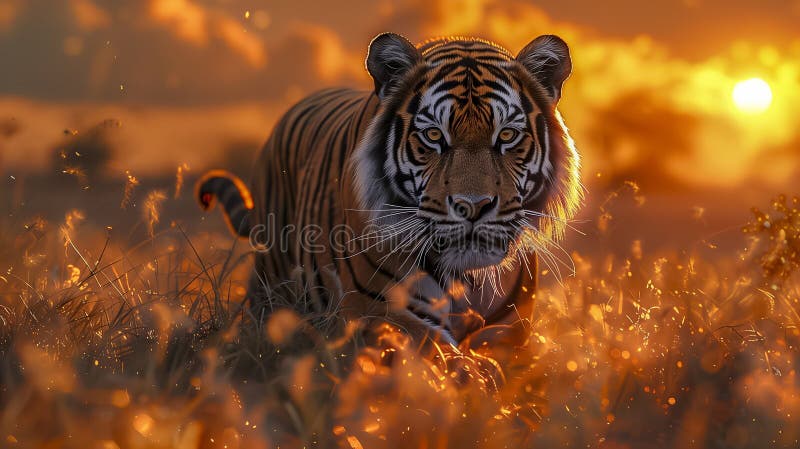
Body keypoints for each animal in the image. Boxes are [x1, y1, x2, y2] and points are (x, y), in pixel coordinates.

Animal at [197, 33, 581, 349]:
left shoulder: (510, 324)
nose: (473, 206)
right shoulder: (377, 310)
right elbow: (436, 356)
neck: (466, 279)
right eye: (433, 135)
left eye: (507, 135)